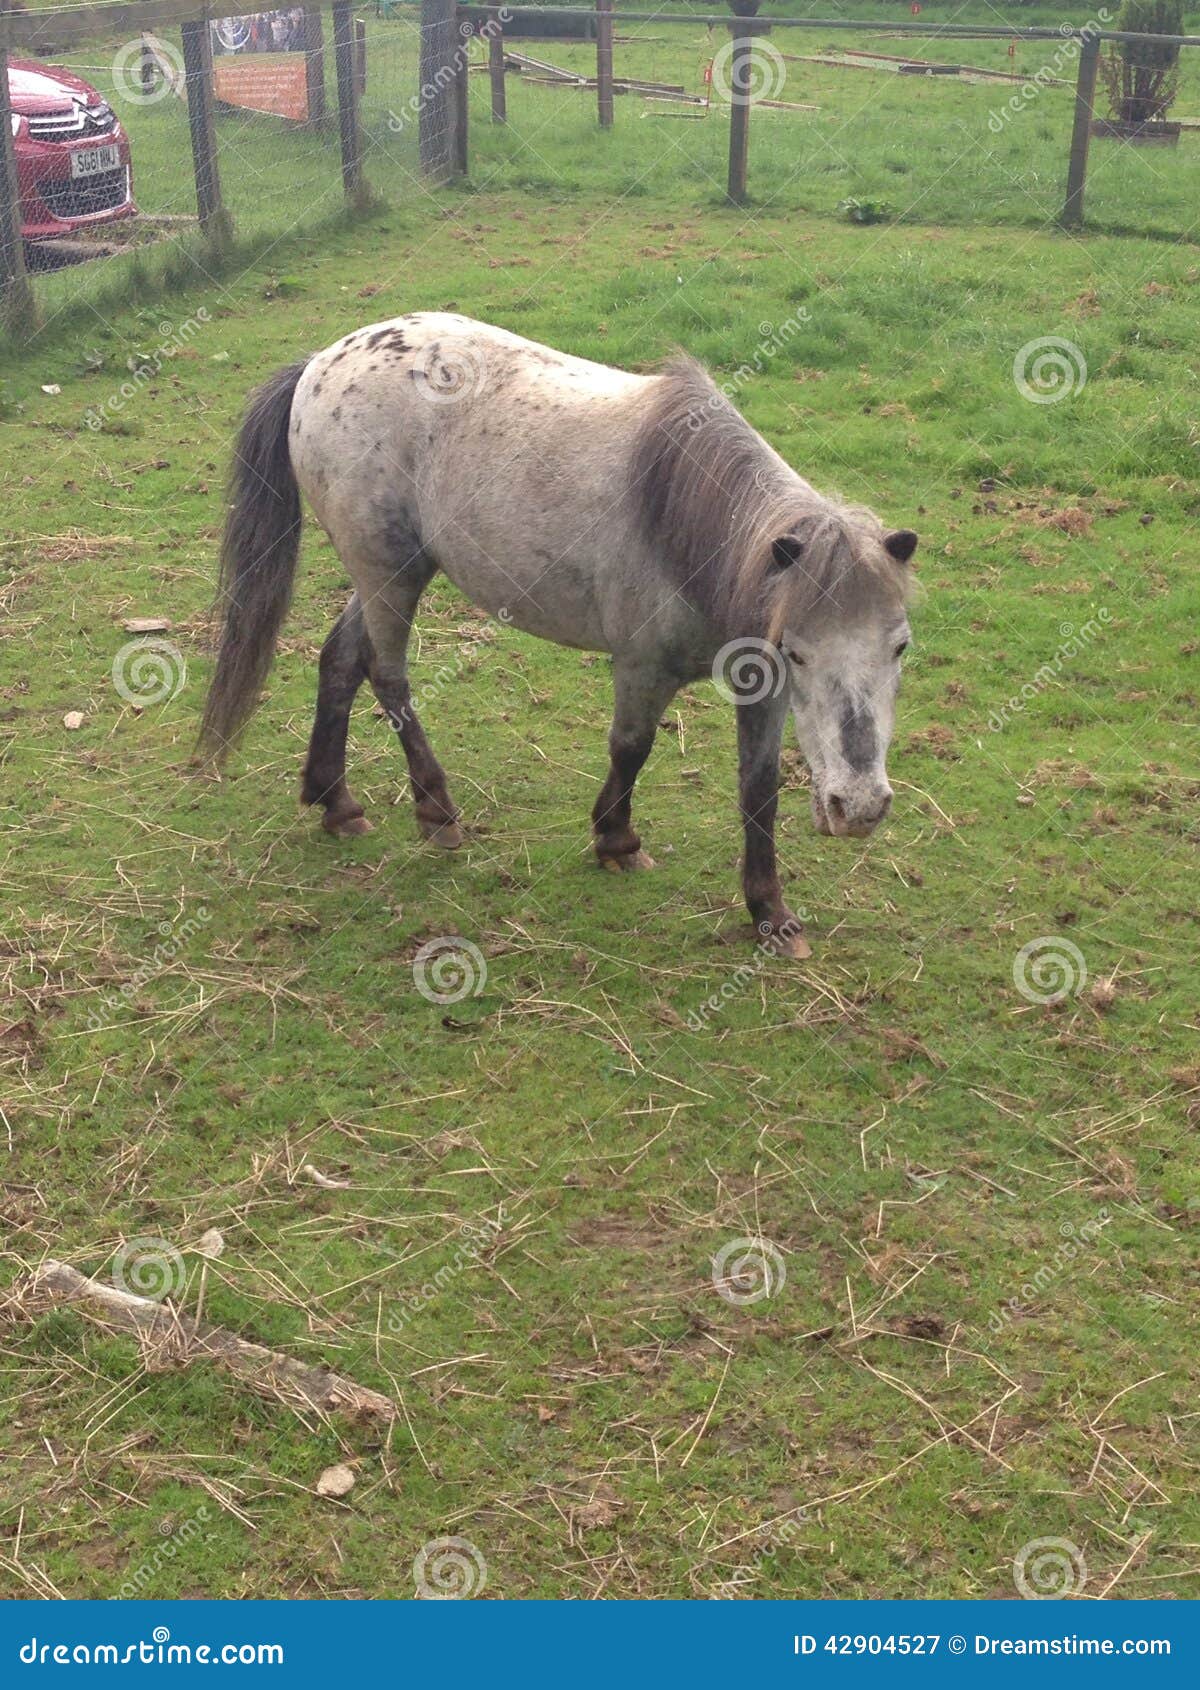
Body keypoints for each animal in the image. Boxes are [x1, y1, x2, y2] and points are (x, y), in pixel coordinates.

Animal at [199, 314, 917, 958]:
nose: (860, 807)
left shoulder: (759, 687)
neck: (690, 521)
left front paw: (770, 911)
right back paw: (435, 810)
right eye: (798, 651)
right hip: (388, 574)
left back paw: (335, 801)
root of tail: (319, 364)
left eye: (900, 646)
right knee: (387, 674)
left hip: (391, 573)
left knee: (341, 662)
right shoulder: (643, 667)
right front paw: (616, 841)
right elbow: (631, 749)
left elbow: (758, 788)